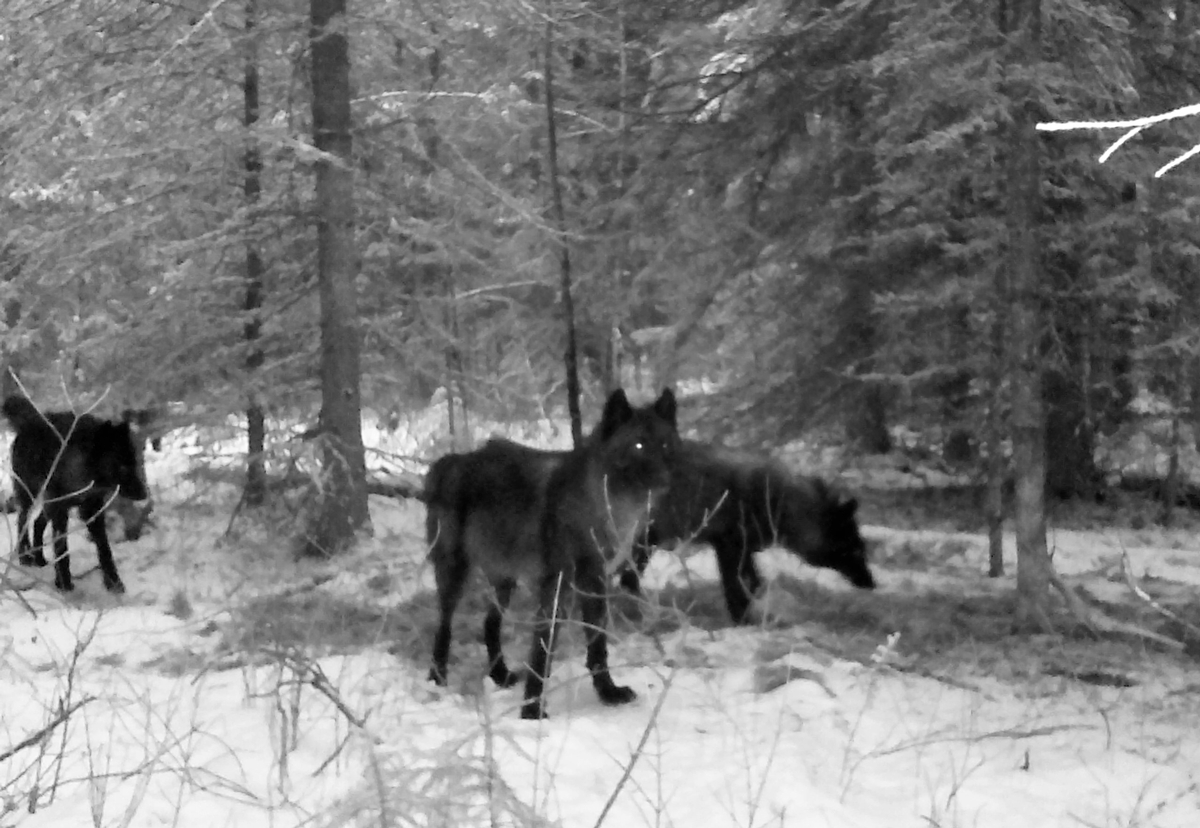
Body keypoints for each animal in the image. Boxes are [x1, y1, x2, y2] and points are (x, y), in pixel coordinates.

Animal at [425, 387, 680, 719]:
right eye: (638, 445)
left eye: (665, 444)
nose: (665, 480)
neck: (601, 505)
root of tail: (453, 460)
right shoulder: (556, 585)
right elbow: (542, 648)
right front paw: (532, 711)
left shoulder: (594, 583)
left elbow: (597, 644)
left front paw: (608, 692)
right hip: (455, 573)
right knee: (443, 626)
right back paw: (437, 679)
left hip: (505, 580)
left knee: (489, 624)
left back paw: (500, 676)